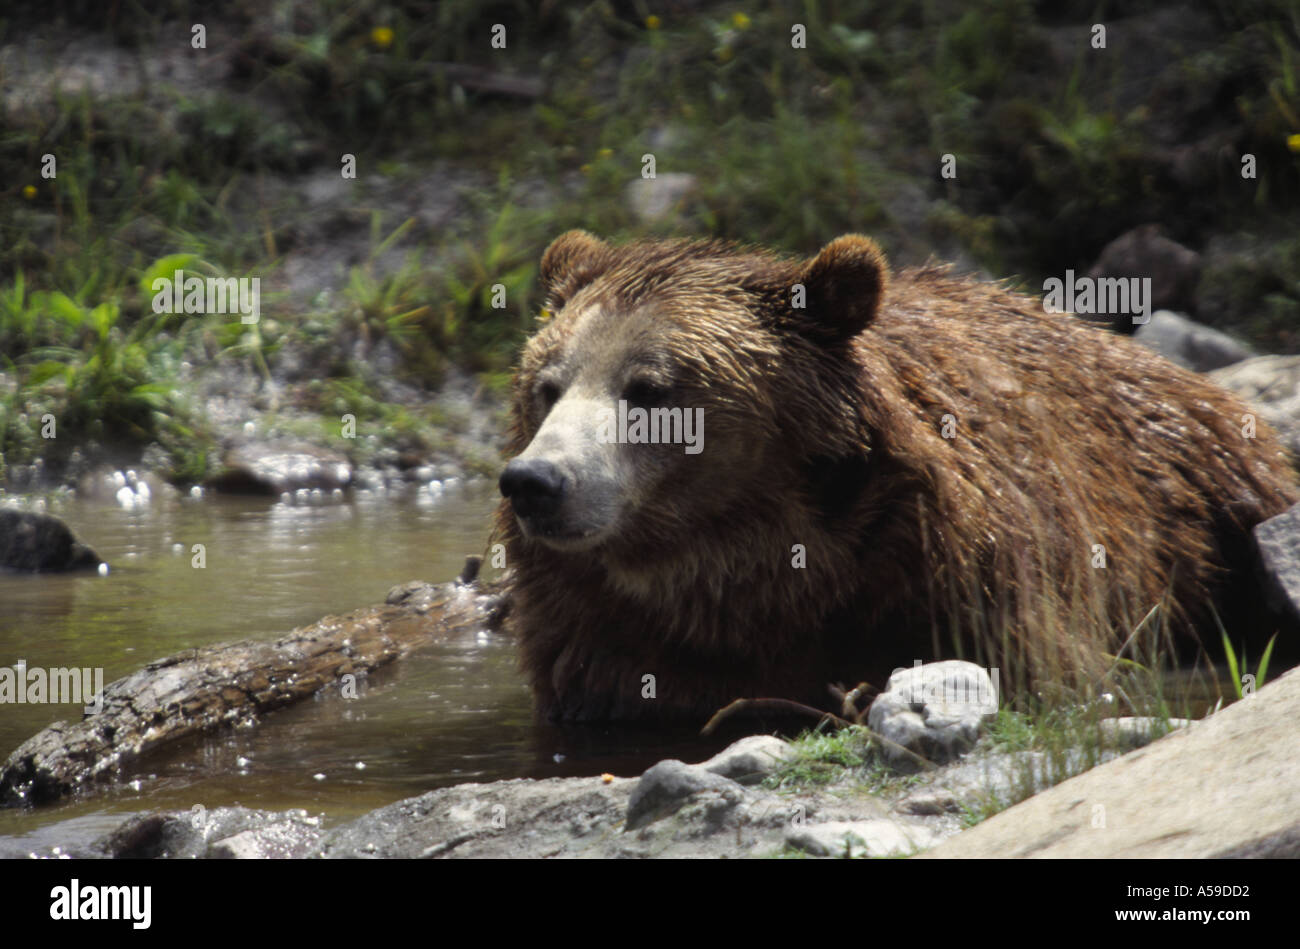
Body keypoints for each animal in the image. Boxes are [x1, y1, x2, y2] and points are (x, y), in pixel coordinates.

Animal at [495, 231, 1298, 723]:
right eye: (548, 384)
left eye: (650, 389)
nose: (535, 480)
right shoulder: (608, 633)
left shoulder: (957, 575)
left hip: (1215, 500)